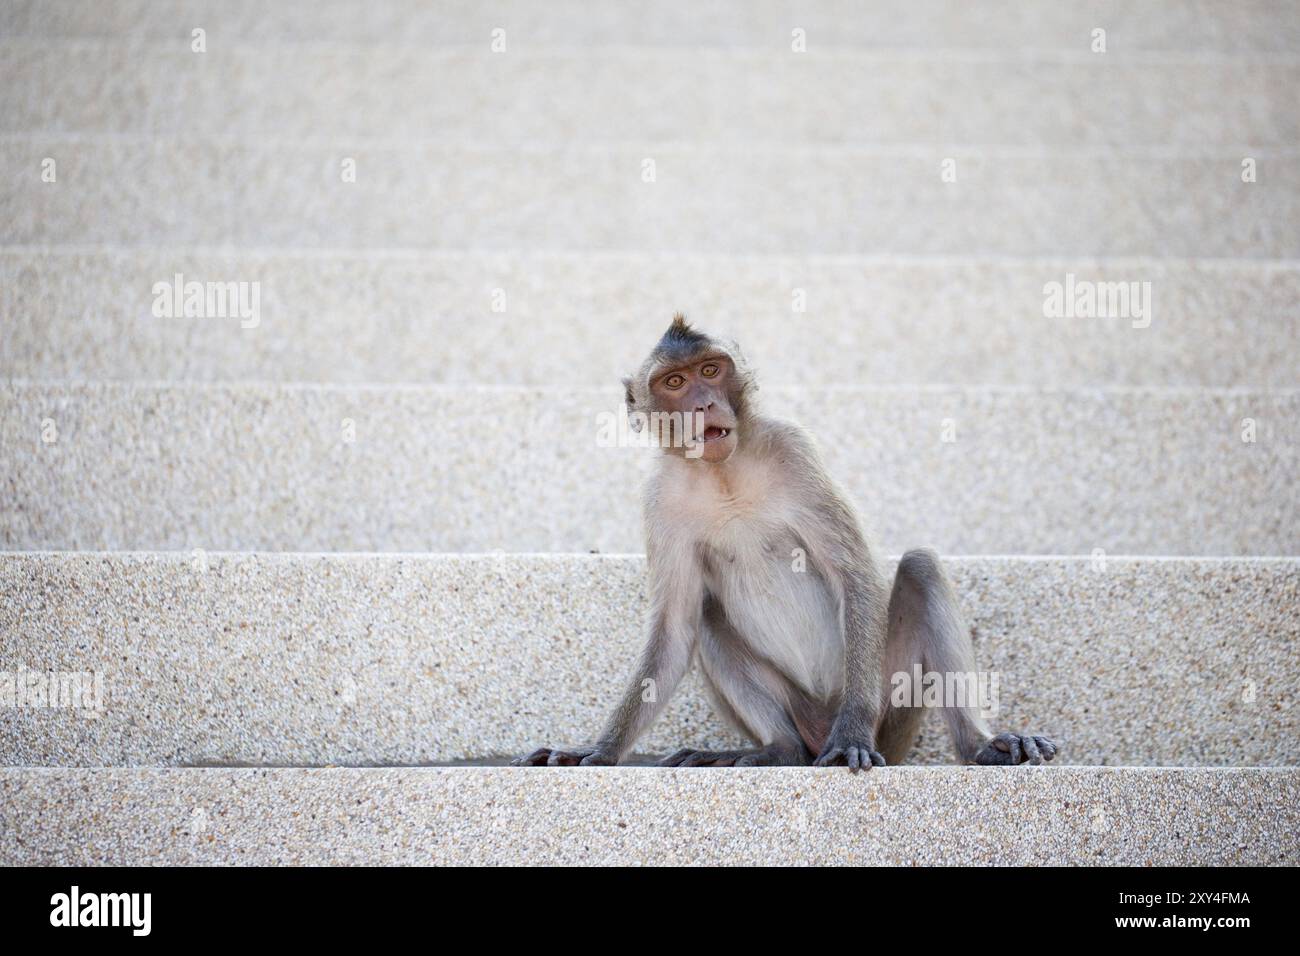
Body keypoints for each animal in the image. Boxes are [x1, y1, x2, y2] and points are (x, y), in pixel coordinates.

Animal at [514, 315, 1057, 770]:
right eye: (675, 383)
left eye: (710, 370)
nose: (704, 403)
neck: (723, 476)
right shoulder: (658, 500)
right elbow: (673, 628)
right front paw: (599, 749)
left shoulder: (794, 449)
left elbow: (854, 577)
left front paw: (853, 738)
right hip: (799, 708)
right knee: (707, 615)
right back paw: (777, 749)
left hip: (890, 699)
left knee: (921, 568)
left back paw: (977, 744)